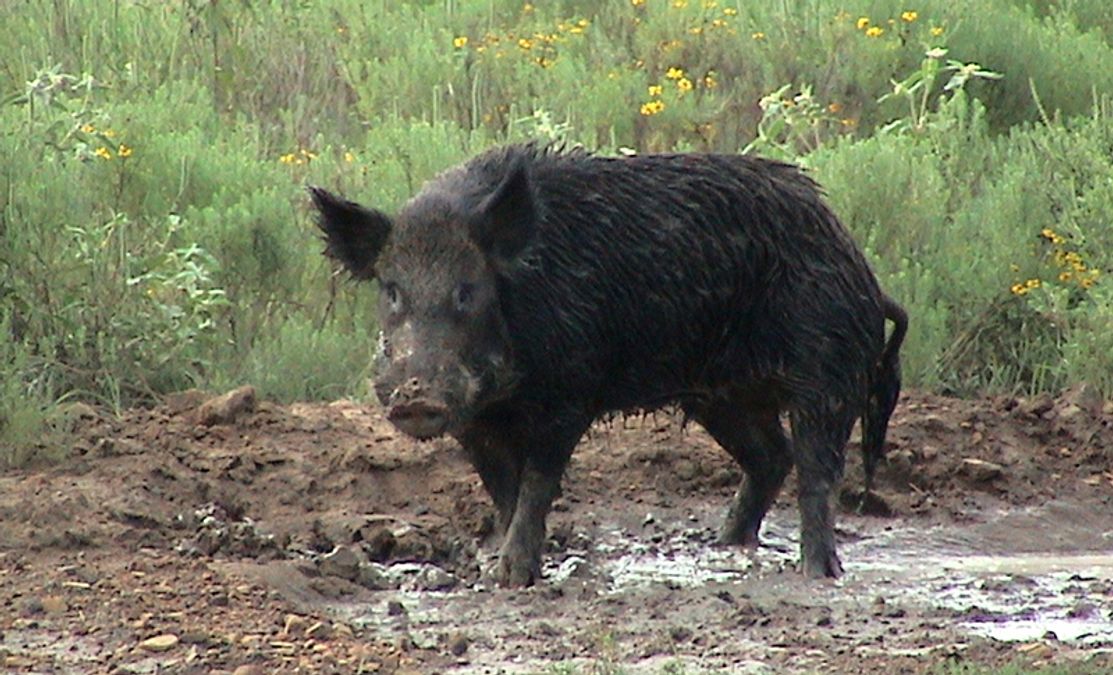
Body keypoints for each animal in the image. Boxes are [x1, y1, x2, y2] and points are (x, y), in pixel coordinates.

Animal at [309, 143, 907, 586]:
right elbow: (503, 491)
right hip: (720, 395)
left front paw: (512, 576)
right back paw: (724, 545)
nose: (415, 395)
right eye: (391, 290)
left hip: (826, 368)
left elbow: (536, 483)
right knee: (770, 456)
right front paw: (500, 570)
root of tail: (864, 274)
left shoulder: (570, 394)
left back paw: (816, 572)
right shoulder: (476, 421)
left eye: (467, 290)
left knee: (817, 471)